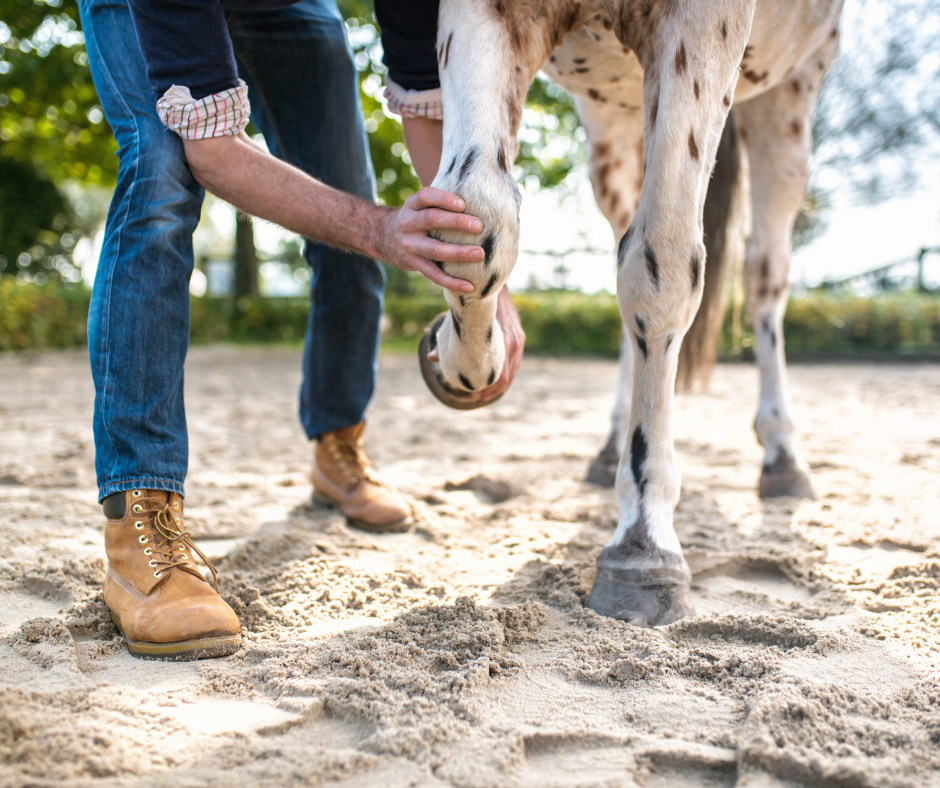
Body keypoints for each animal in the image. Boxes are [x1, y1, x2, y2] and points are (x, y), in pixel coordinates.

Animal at [417, 0, 843, 625]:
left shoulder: (703, 28)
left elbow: (659, 267)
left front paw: (644, 541)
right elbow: (475, 214)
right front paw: (462, 359)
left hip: (790, 93)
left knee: (764, 272)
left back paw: (783, 456)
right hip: (612, 122)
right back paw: (610, 446)